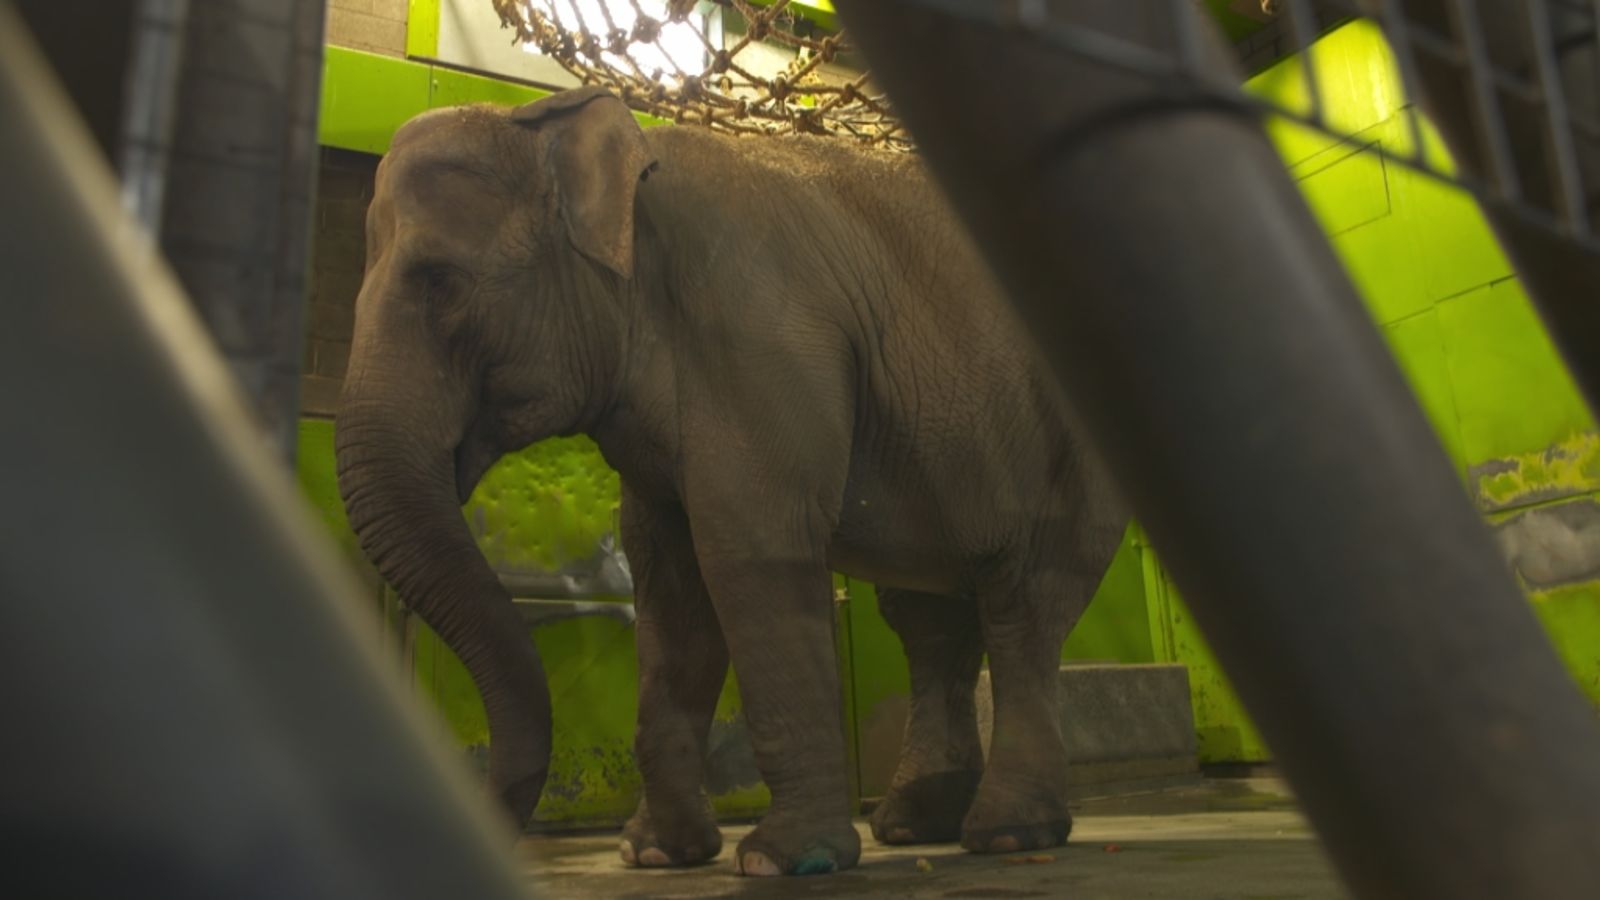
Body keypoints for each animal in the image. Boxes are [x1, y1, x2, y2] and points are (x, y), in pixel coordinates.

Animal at [334, 85, 1128, 877]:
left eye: (442, 282)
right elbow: (671, 580)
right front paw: (656, 855)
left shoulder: (756, 335)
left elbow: (750, 548)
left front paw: (782, 862)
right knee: (929, 618)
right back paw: (914, 824)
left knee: (1023, 605)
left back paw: (1009, 834)